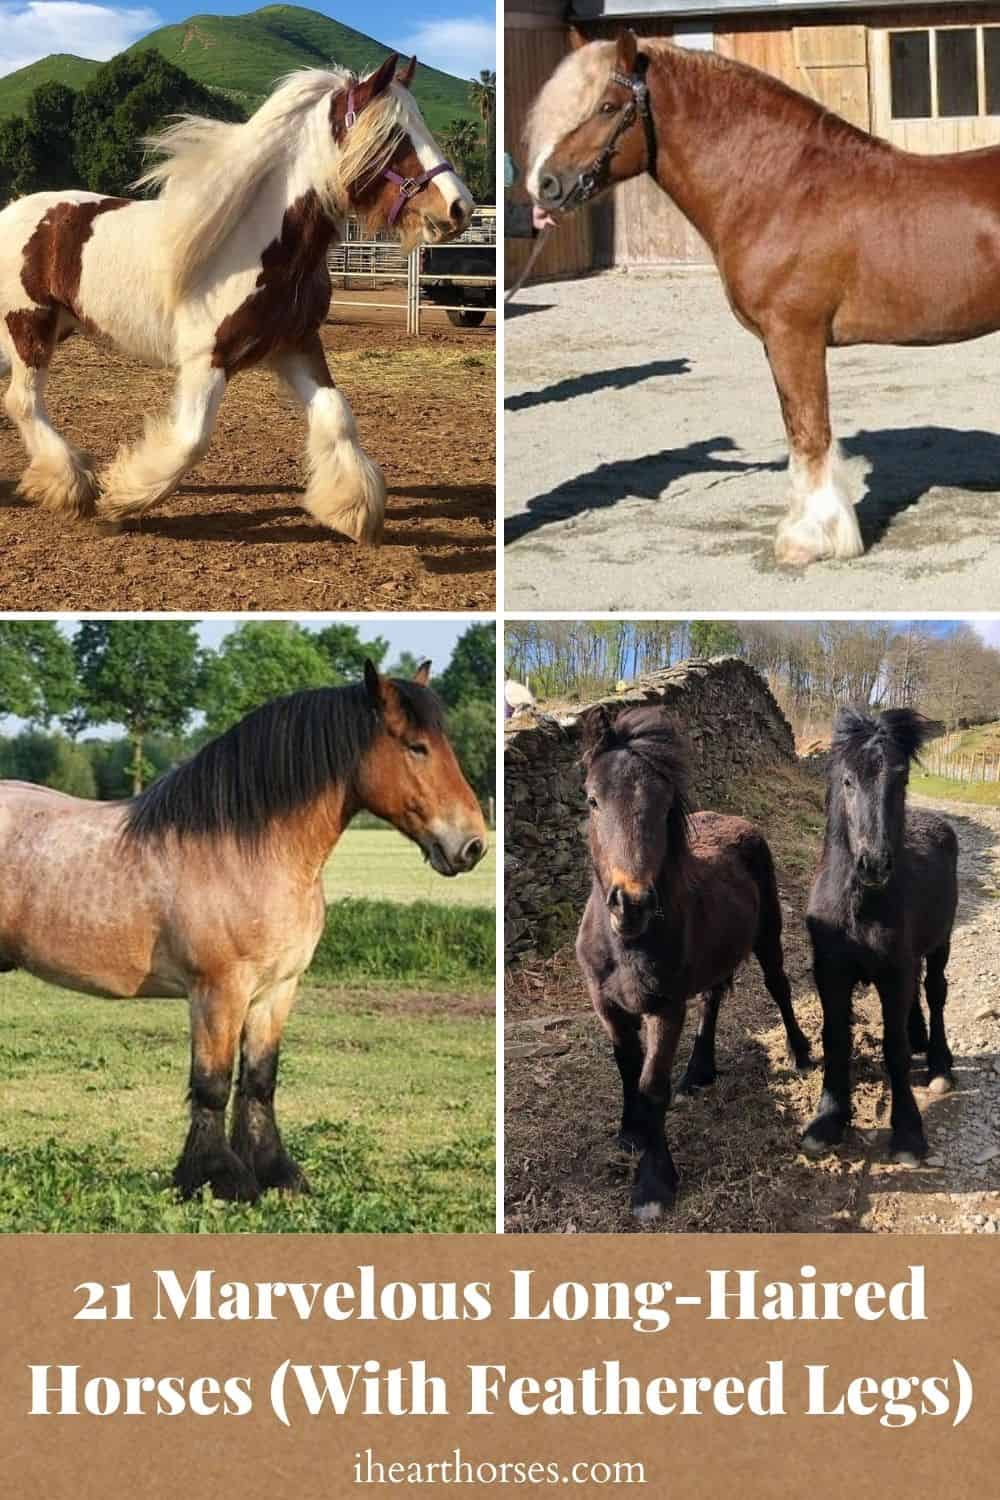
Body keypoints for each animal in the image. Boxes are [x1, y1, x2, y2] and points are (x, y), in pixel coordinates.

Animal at [0, 55, 473, 544]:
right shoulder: (207, 359)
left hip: (46, 329)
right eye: (394, 135)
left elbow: (336, 415)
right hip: (28, 325)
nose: (460, 208)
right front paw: (119, 499)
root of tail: (12, 211)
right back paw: (72, 485)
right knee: (23, 401)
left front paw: (352, 509)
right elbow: (190, 440)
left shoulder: (296, 346)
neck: (256, 245)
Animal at [0, 663, 487, 1202]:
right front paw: (217, 1178)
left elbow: (258, 1081)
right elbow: (212, 1084)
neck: (247, 850)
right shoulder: (219, 991)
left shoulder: (276, 990)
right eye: (416, 747)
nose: (472, 845)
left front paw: (276, 1172)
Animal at [525, 28, 1000, 566]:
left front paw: (808, 540)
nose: (545, 184)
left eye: (607, 106)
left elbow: (810, 432)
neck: (783, 188)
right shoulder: (780, 343)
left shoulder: (794, 335)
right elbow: (798, 429)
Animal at [574, 705, 811, 1221]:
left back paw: (801, 1053)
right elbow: (627, 1068)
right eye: (593, 800)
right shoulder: (607, 1006)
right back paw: (699, 1071)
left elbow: (652, 1084)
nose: (631, 904)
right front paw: (630, 1132)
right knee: (713, 998)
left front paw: (653, 1184)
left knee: (779, 987)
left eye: (665, 805)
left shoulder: (665, 1008)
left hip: (768, 939)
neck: (626, 946)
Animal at [803, 708, 958, 1166]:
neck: (859, 905)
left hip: (940, 943)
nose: (874, 864)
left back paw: (939, 1064)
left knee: (935, 990)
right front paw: (827, 1120)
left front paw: (907, 1132)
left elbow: (895, 1048)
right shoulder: (831, 972)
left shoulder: (895, 972)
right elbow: (836, 1038)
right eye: (847, 780)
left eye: (902, 778)